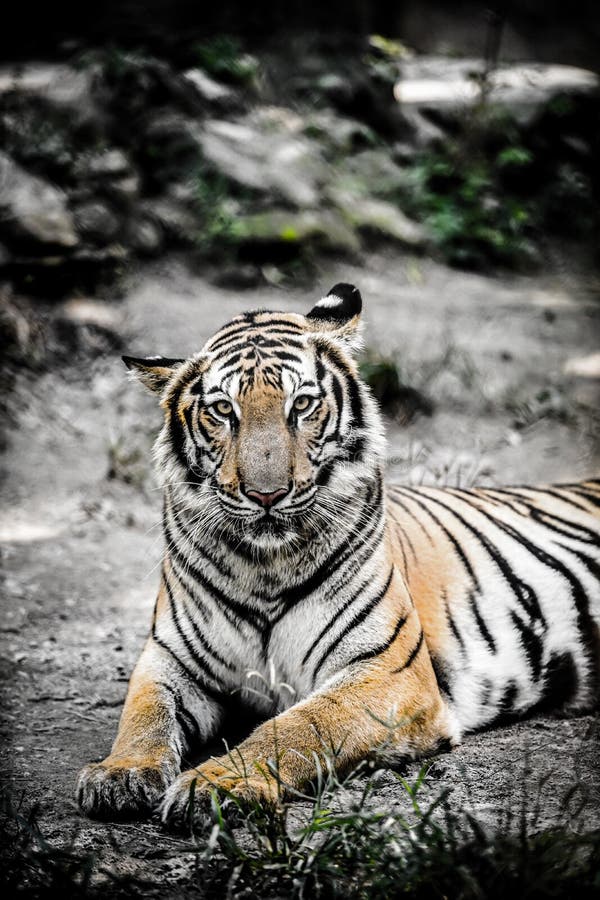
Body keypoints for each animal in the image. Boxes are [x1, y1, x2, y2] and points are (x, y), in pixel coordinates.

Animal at [76, 282, 600, 830]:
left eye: (303, 404)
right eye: (222, 411)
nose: (267, 494)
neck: (263, 567)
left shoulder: (386, 672)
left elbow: (295, 727)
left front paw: (215, 786)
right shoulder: (169, 659)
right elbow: (143, 717)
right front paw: (118, 774)